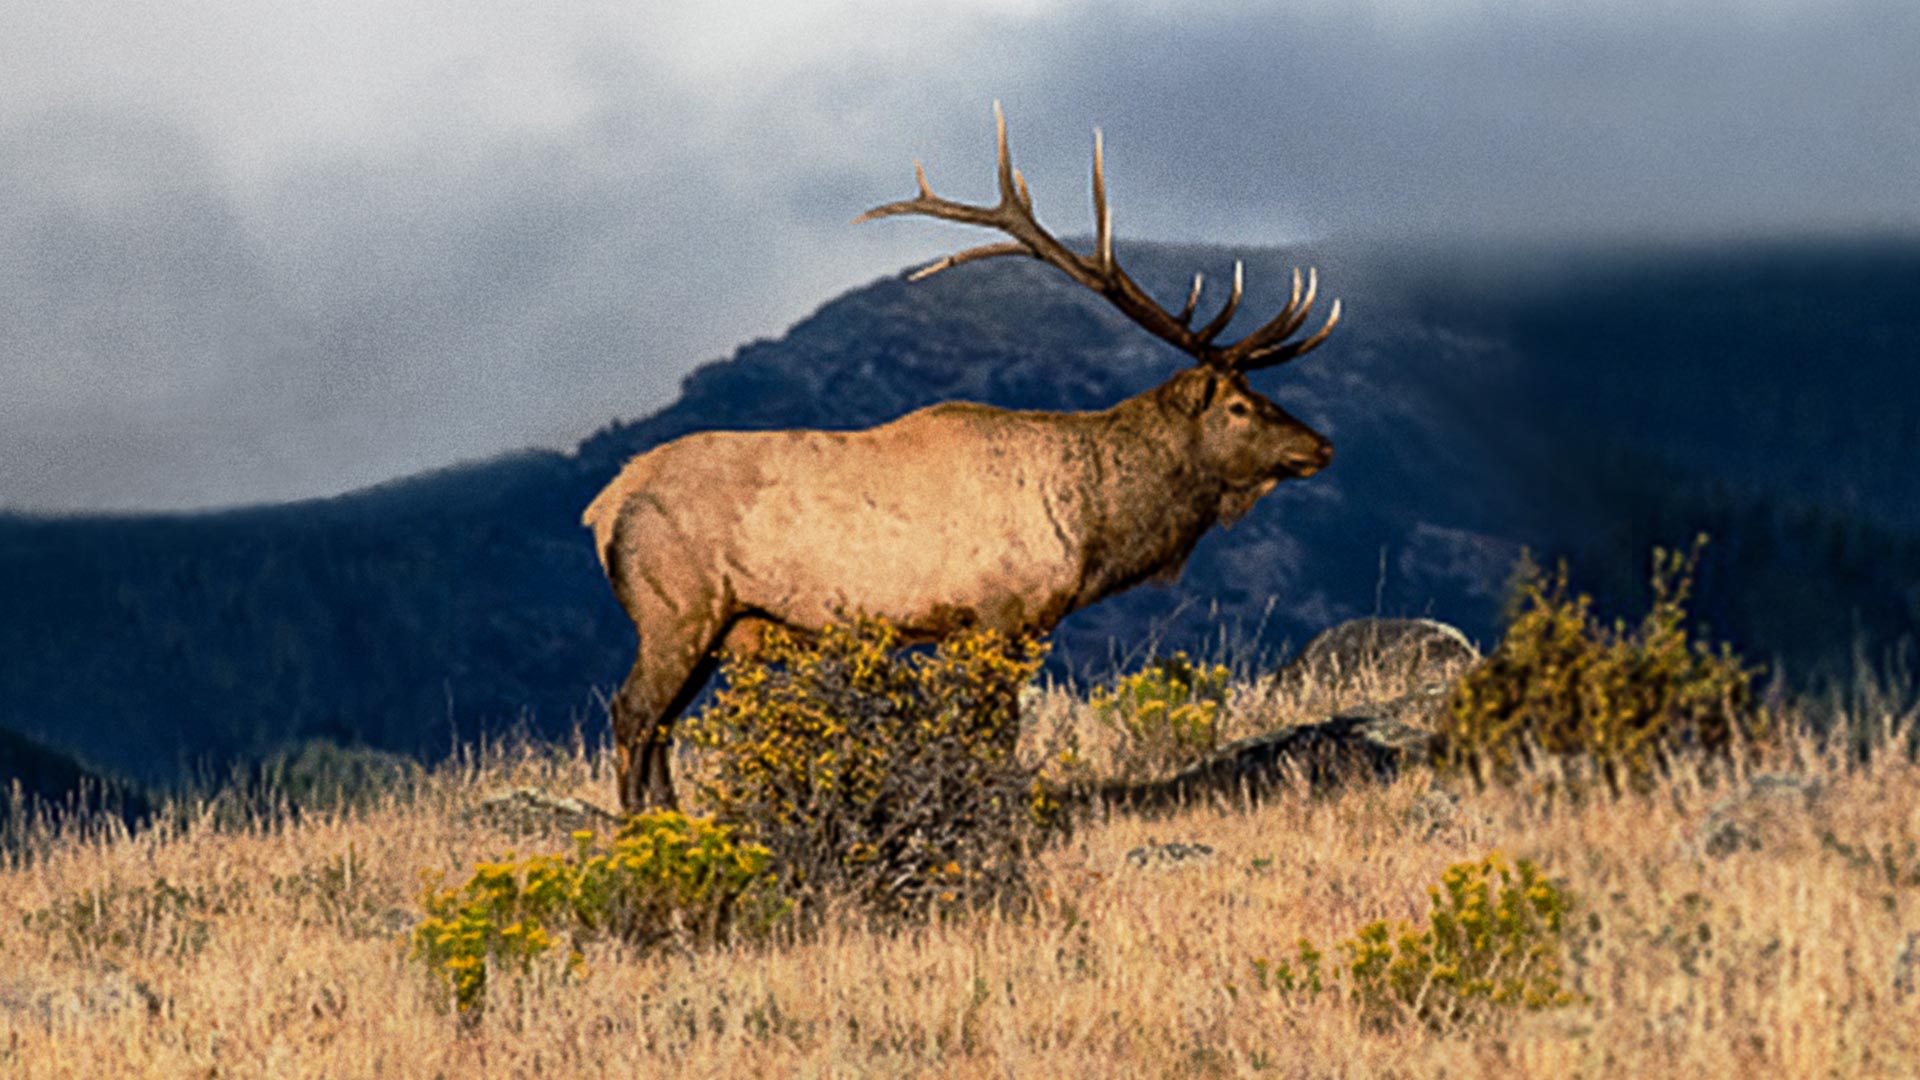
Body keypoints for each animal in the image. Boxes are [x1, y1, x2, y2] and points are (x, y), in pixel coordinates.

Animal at [585, 104, 1342, 811]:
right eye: (1238, 405)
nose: (1321, 445)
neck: (1091, 528)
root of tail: (603, 507)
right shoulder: (1000, 613)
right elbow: (993, 734)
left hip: (714, 625)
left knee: (660, 726)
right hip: (676, 607)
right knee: (633, 713)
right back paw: (639, 827)